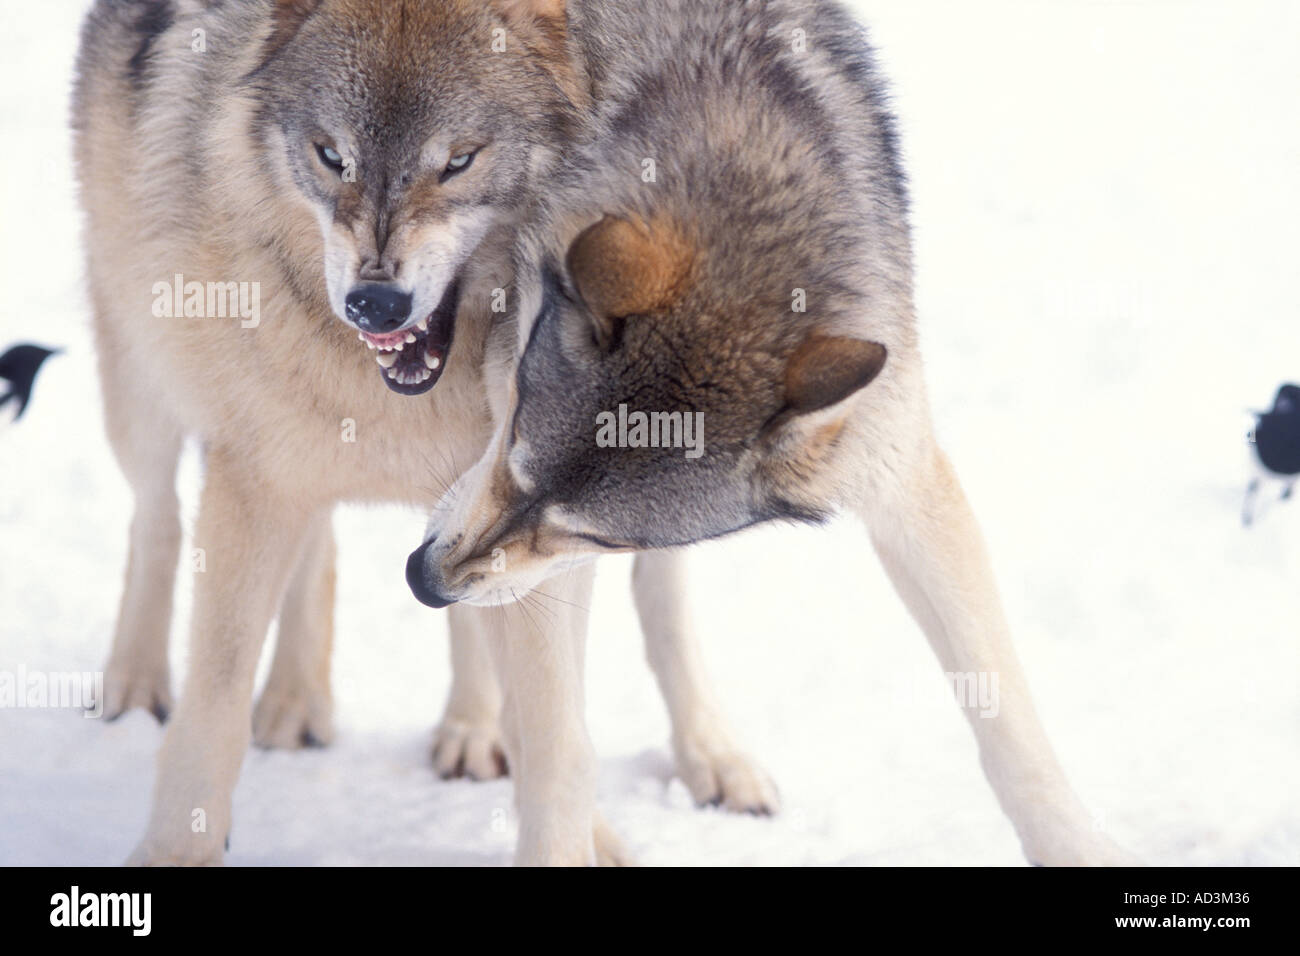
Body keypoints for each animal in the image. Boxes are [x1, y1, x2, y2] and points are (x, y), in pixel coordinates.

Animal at [73, 0, 773, 866]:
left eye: (459, 161)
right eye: (331, 156)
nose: (375, 305)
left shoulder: (535, 520)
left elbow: (554, 731)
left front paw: (582, 831)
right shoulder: (255, 476)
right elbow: (213, 711)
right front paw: (173, 851)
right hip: (141, 378)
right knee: (157, 517)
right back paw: (151, 687)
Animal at [408, 0, 1137, 865]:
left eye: (601, 535)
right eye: (516, 436)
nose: (424, 581)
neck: (745, 178)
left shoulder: (904, 478)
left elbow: (1009, 724)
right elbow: (558, 751)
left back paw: (711, 752)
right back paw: (471, 723)